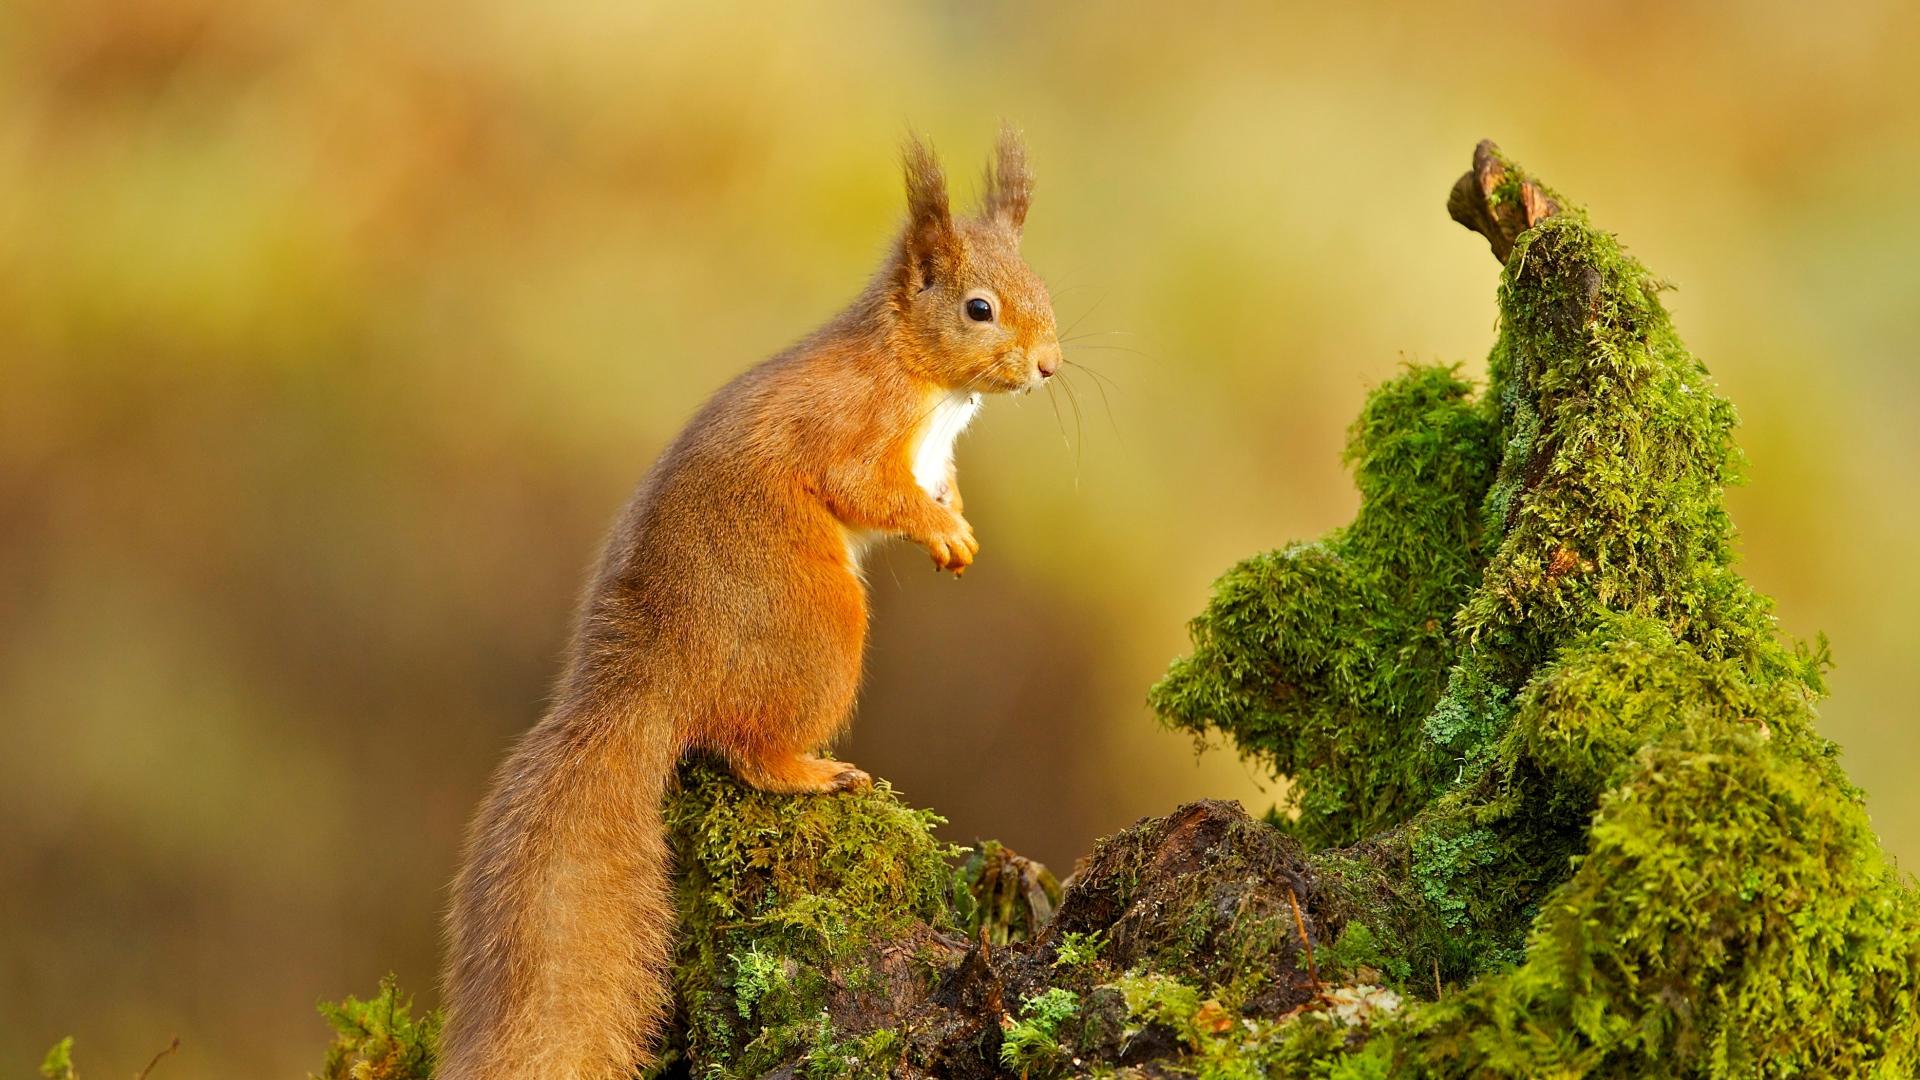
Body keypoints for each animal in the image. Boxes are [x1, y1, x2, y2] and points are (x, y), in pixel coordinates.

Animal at [439, 128, 1061, 1080]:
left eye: (1044, 288)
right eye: (979, 309)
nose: (1048, 365)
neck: (920, 375)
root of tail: (654, 681)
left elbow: (941, 486)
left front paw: (956, 526)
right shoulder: (855, 430)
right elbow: (867, 489)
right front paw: (937, 528)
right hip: (819, 625)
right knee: (744, 749)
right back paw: (812, 771)